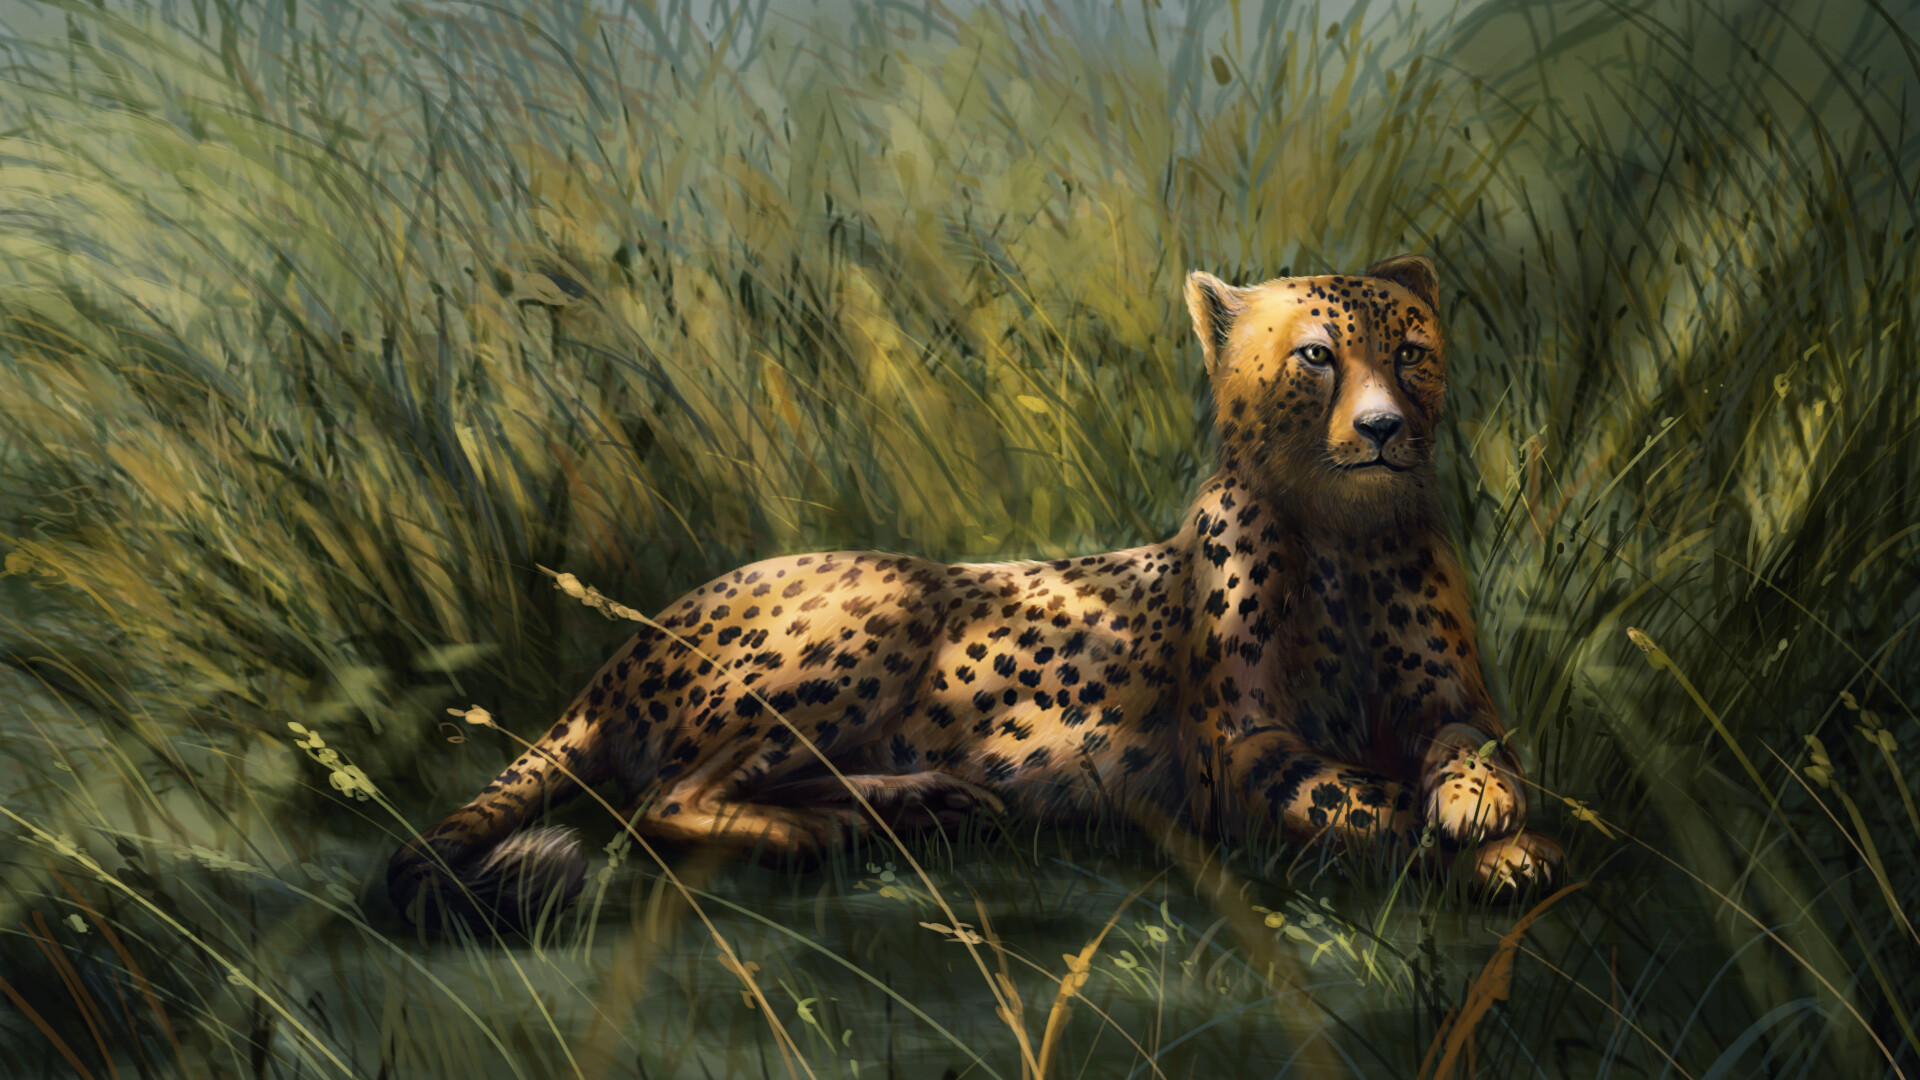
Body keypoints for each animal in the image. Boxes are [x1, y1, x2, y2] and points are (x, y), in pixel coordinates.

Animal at [387, 254, 1564, 930]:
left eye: (1412, 353)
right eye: (1317, 357)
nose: (1384, 428)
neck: (1343, 538)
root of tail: (631, 642)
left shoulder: (1449, 698)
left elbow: (1472, 743)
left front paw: (1488, 809)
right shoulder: (1237, 754)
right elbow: (1353, 796)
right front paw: (1485, 847)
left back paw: (921, 801)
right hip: (882, 606)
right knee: (663, 803)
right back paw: (834, 831)